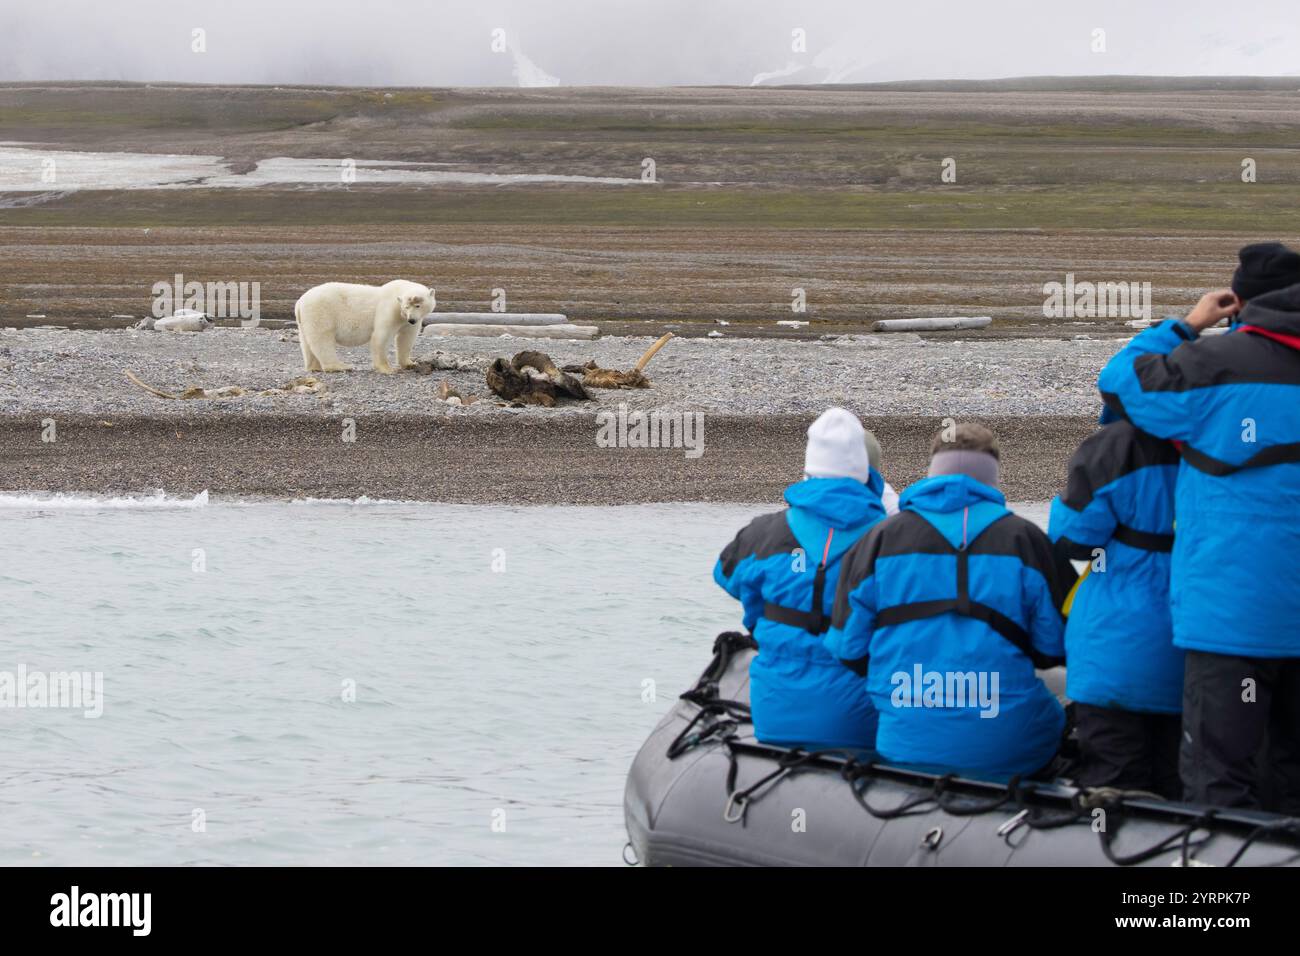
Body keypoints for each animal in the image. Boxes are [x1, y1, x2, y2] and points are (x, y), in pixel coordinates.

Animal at [294, 280, 435, 374]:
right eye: (406, 306)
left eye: (417, 305)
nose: (412, 319)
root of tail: (299, 302)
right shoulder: (389, 309)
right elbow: (381, 337)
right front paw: (387, 368)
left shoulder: (408, 321)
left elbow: (406, 338)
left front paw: (410, 363)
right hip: (320, 311)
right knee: (322, 339)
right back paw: (341, 366)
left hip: (304, 320)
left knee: (306, 342)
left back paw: (314, 367)